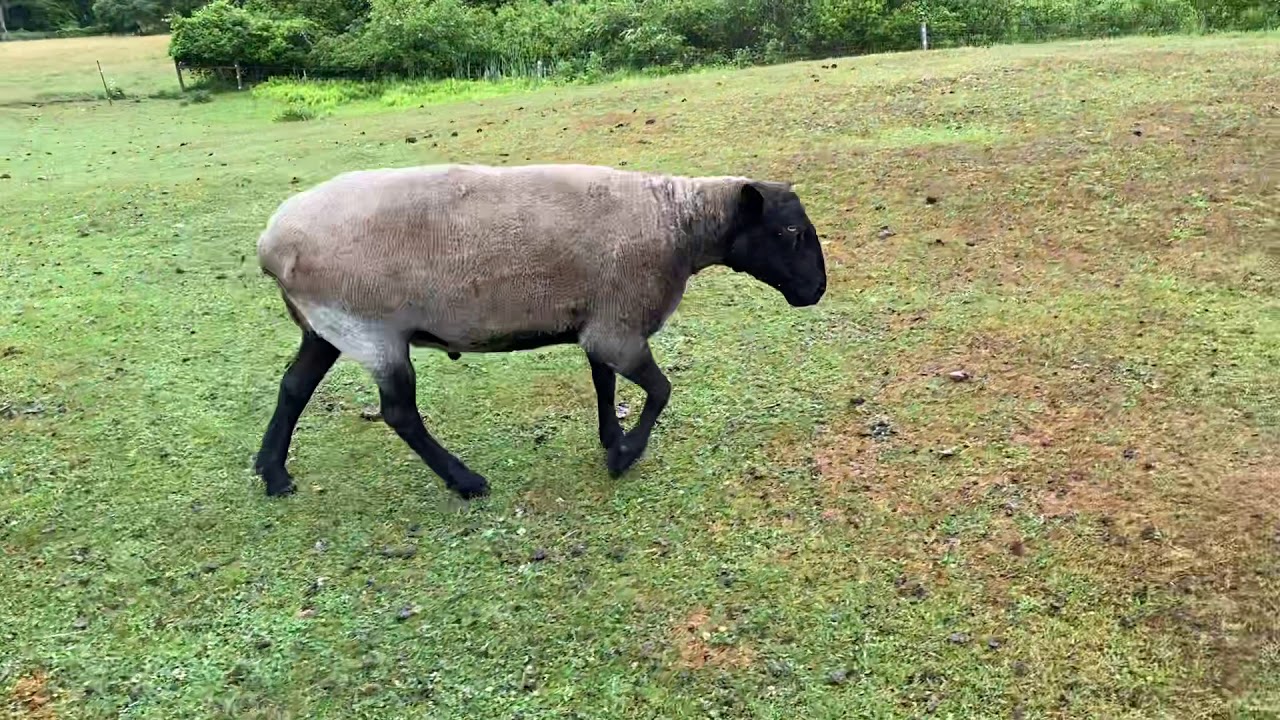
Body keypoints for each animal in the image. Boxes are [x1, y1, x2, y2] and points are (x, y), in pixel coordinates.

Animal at [253, 162, 827, 500]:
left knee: (294, 387)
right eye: (790, 231)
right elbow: (661, 391)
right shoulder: (618, 326)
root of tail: (270, 245)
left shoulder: (598, 320)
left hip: (324, 327)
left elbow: (604, 385)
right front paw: (624, 457)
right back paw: (466, 481)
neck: (678, 225)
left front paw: (610, 439)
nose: (817, 289)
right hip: (370, 329)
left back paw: (273, 474)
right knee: (399, 414)